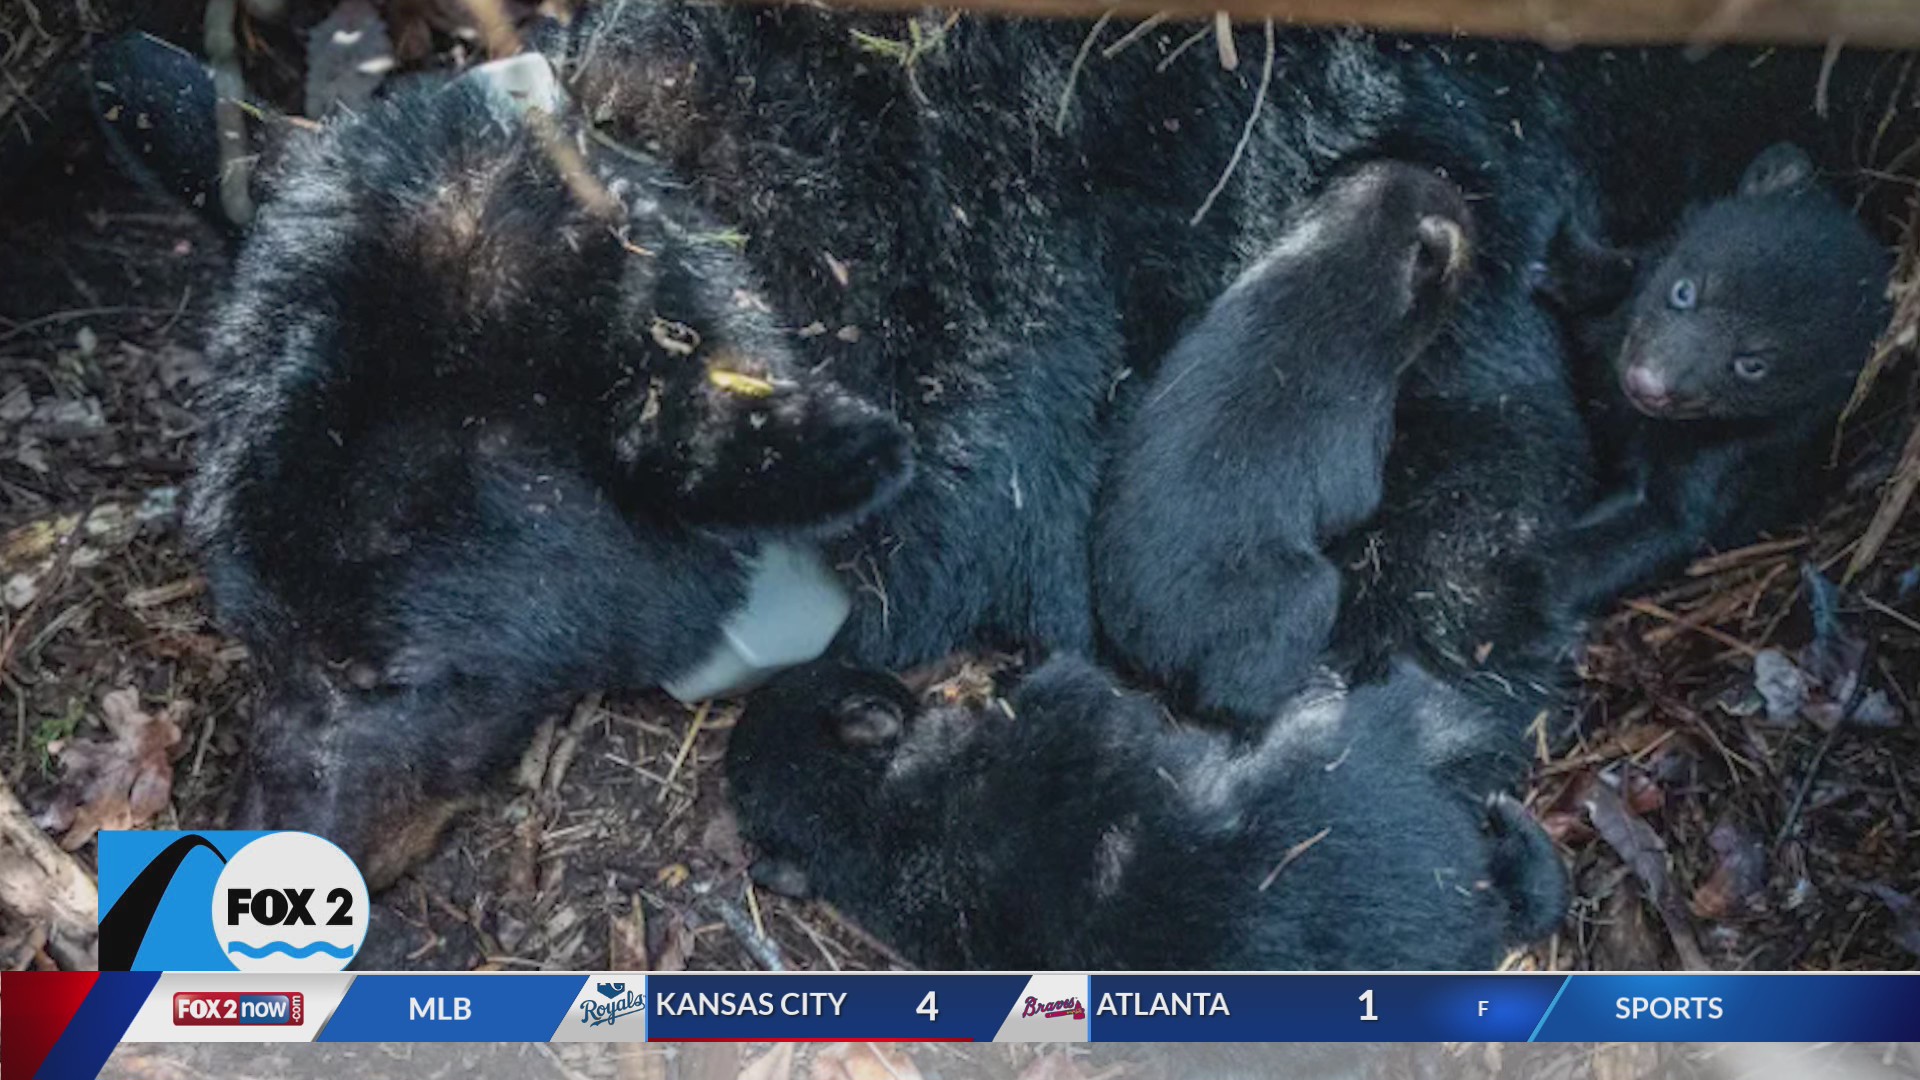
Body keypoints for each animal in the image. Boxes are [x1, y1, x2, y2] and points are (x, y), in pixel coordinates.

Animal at [1094, 160, 1473, 731]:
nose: (1468, 199)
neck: (1339, 264)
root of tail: (1150, 656)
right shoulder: (1357, 422)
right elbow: (1352, 500)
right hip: (1287, 595)